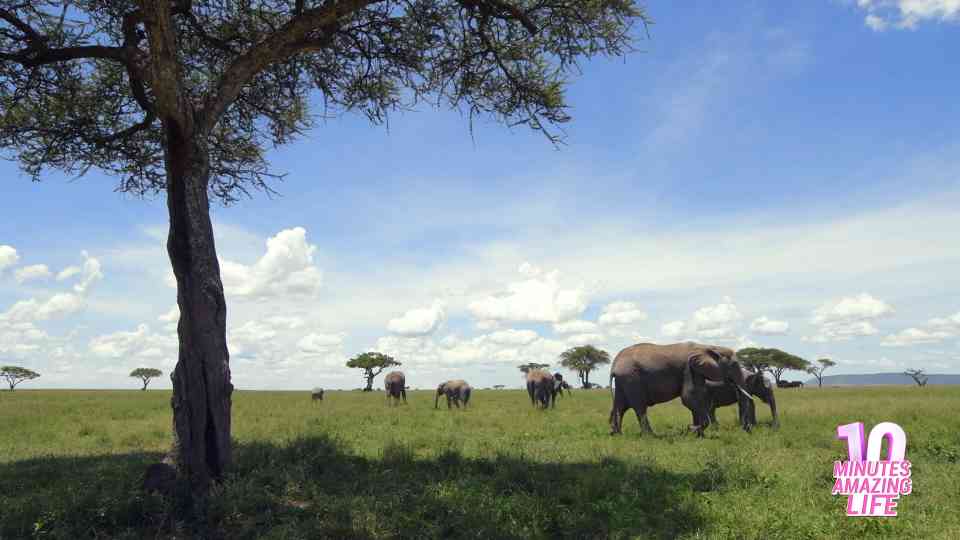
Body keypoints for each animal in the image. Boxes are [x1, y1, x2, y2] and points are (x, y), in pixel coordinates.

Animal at [608, 342, 753, 437]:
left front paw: (698, 435)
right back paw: (650, 436)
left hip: (623, 380)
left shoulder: (696, 370)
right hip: (632, 378)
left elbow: (697, 397)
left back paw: (617, 434)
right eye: (734, 364)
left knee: (621, 405)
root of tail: (614, 364)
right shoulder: (689, 368)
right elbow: (689, 398)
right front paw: (693, 430)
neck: (710, 347)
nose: (746, 430)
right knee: (639, 406)